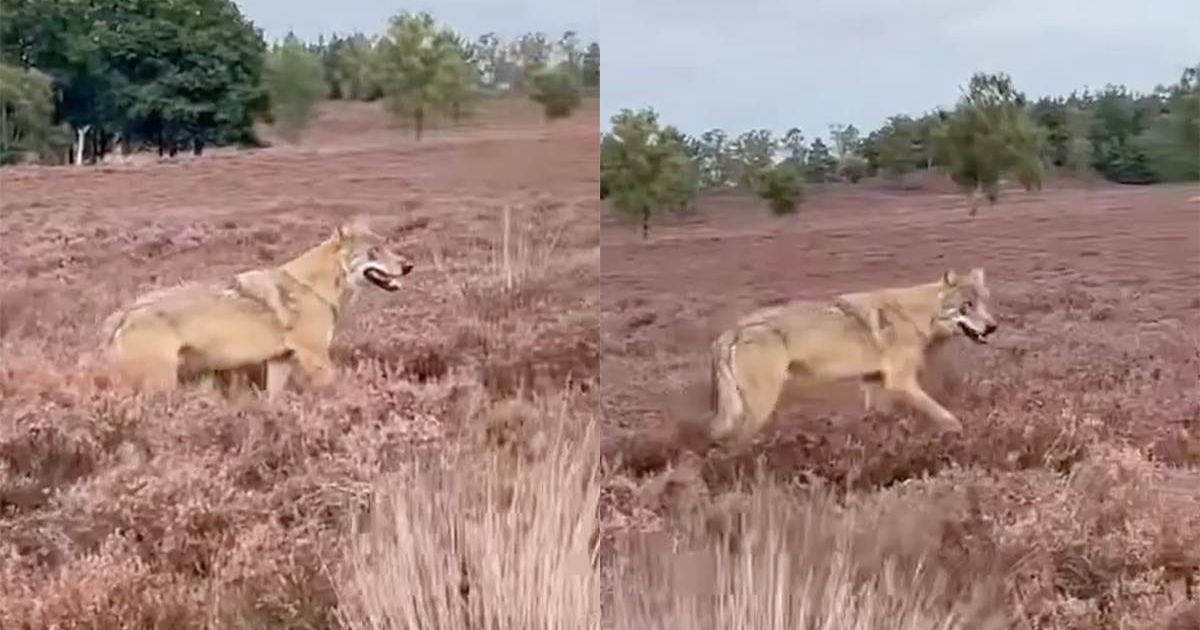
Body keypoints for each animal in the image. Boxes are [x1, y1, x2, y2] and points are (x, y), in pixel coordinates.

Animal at [100, 218, 415, 397]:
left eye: (387, 246)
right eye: (374, 252)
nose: (409, 266)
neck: (315, 286)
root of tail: (123, 313)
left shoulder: (279, 361)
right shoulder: (316, 357)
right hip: (161, 384)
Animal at [707, 268, 997, 450]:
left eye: (985, 303)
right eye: (967, 306)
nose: (993, 327)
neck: (918, 316)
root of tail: (732, 330)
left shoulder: (873, 383)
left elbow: (880, 422)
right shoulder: (901, 382)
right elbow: (947, 417)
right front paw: (963, 434)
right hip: (760, 407)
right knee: (735, 445)